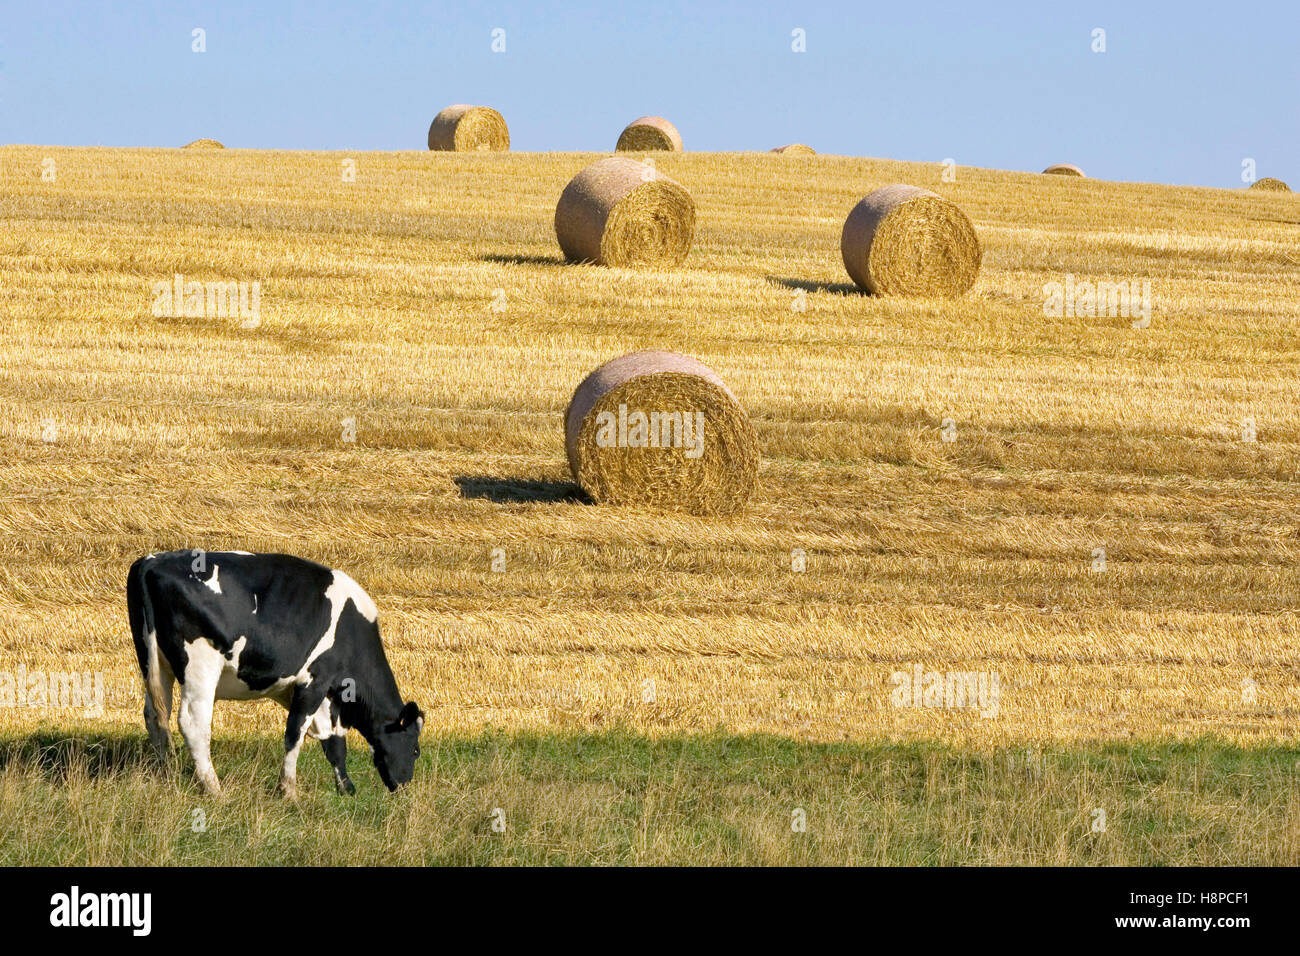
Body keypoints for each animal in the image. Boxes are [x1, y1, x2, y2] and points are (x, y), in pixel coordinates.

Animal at [125, 550, 422, 797]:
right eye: (416, 750)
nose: (404, 786)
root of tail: (152, 561)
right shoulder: (315, 681)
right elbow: (294, 734)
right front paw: (288, 790)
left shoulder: (330, 695)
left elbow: (334, 742)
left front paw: (346, 788)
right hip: (200, 667)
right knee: (193, 723)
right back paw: (214, 789)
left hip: (153, 663)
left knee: (155, 717)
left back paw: (168, 775)